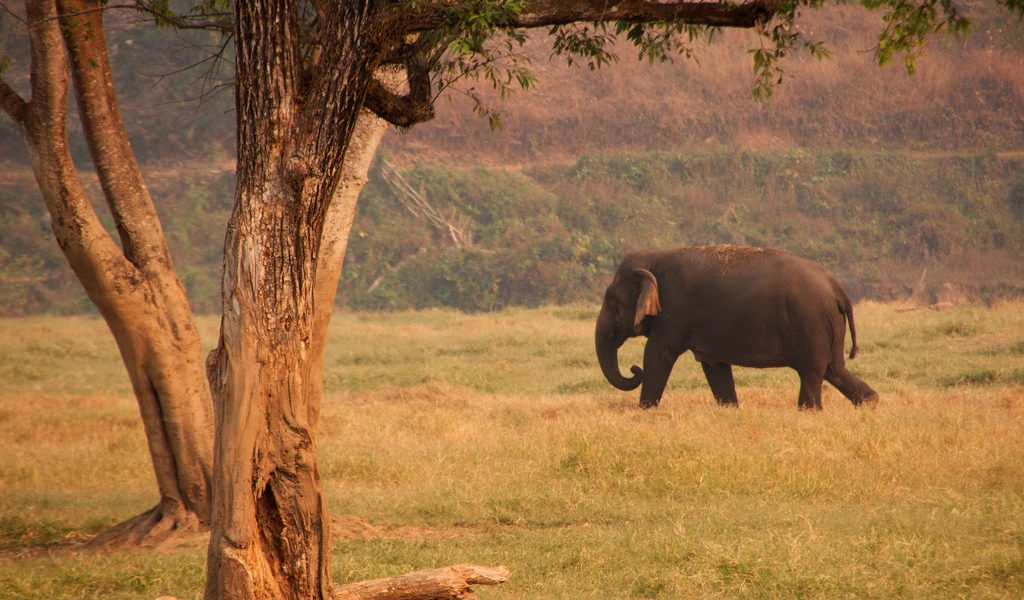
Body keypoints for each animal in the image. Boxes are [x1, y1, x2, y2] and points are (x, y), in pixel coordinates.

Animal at [595, 245, 879, 409]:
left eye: (612, 299)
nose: (634, 370)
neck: (655, 256)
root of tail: (837, 288)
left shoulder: (674, 312)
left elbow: (658, 353)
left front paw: (646, 409)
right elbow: (714, 366)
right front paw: (730, 409)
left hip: (811, 323)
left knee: (812, 373)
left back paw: (808, 411)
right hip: (829, 327)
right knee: (834, 370)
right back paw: (870, 403)